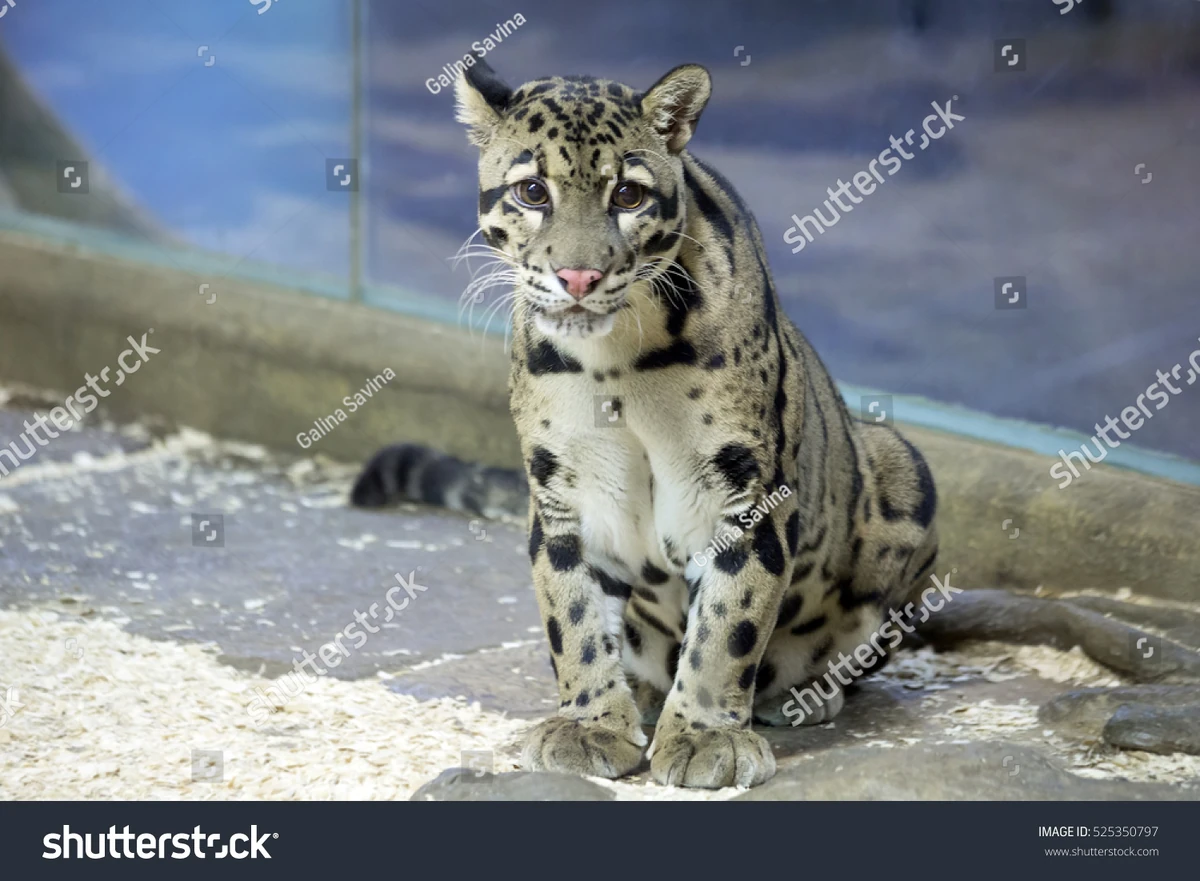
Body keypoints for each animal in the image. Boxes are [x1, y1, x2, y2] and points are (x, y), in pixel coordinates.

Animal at [352, 59, 938, 789]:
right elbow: (573, 615)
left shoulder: (747, 494)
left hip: (904, 466)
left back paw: (799, 694)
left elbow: (727, 625)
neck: (618, 364)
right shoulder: (563, 493)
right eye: (532, 191)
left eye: (628, 194)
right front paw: (591, 724)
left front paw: (706, 737)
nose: (578, 276)